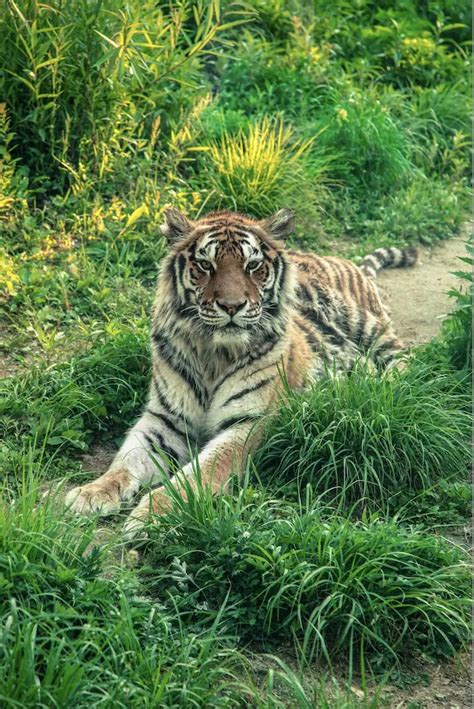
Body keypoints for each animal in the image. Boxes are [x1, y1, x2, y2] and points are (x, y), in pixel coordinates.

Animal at [65, 208, 418, 538]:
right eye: (206, 265)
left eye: (252, 266)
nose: (232, 306)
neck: (212, 354)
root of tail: (338, 258)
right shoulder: (165, 419)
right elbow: (126, 459)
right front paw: (92, 494)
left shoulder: (248, 424)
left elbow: (200, 473)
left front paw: (155, 514)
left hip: (364, 324)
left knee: (404, 359)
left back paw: (380, 387)